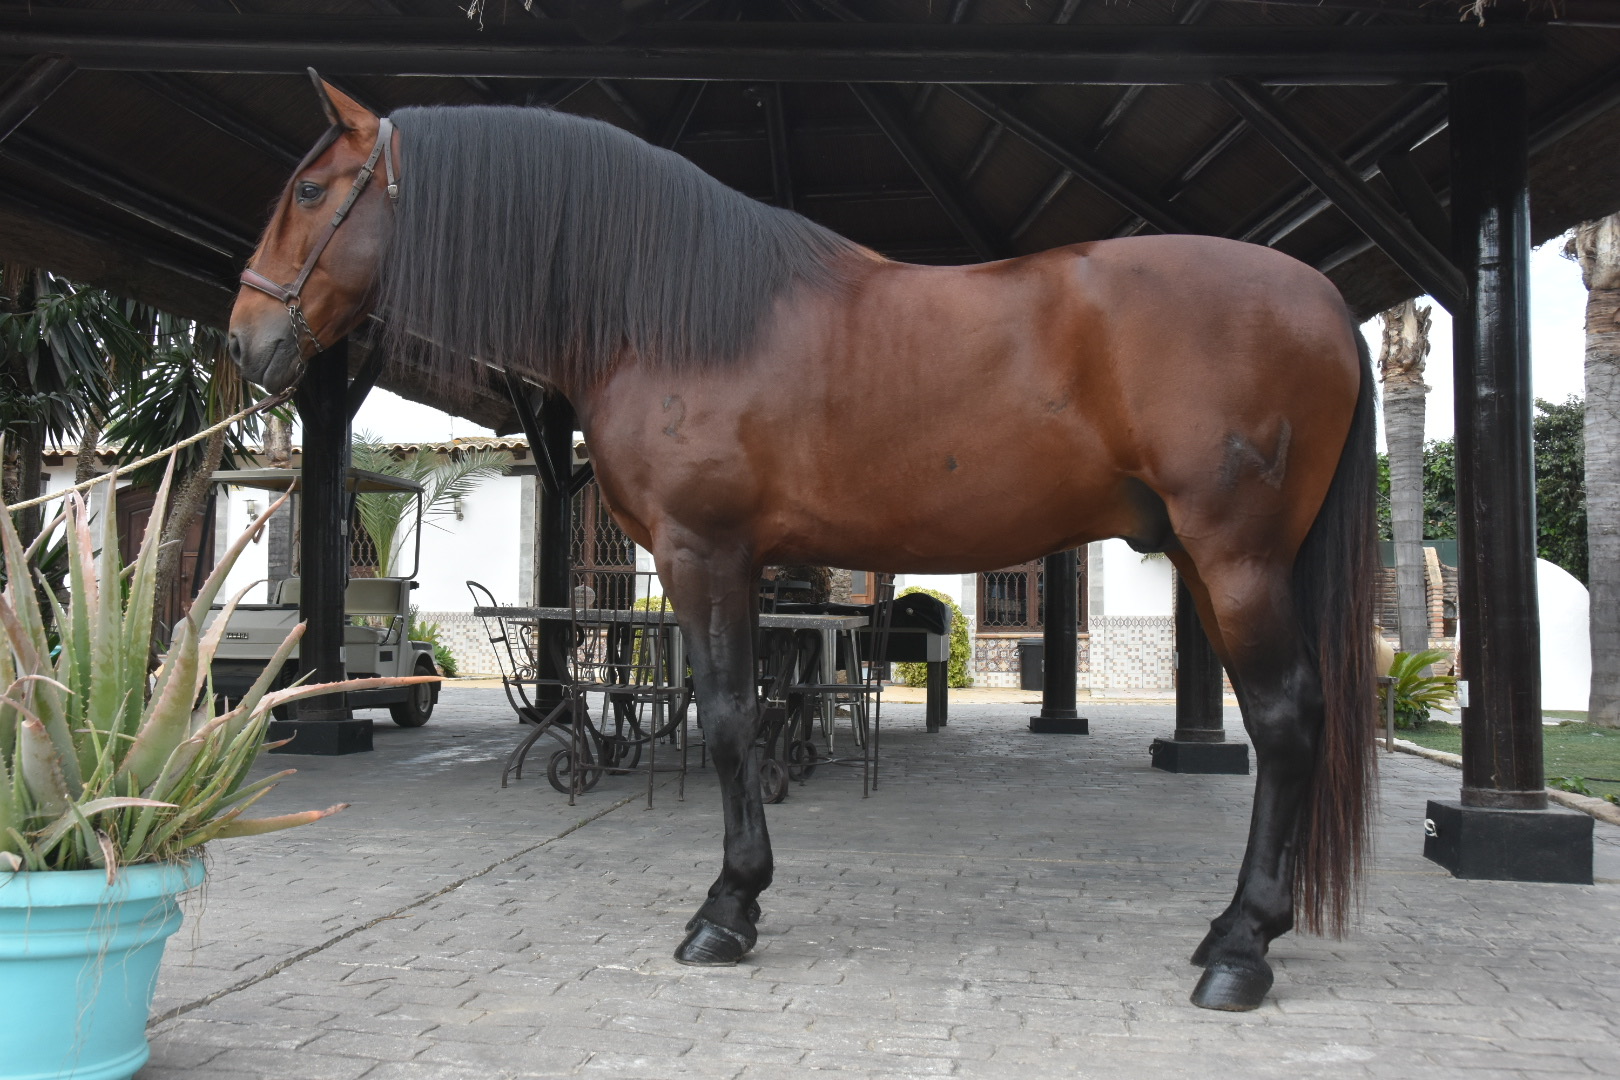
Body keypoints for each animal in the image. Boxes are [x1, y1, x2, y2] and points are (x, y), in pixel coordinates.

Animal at [228, 74, 1376, 1012]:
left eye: (313, 192)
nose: (245, 342)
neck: (677, 310)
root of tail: (1324, 299)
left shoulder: (704, 554)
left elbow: (736, 721)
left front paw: (725, 911)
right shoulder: (734, 565)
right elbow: (747, 712)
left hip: (1236, 559)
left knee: (1286, 722)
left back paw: (1243, 951)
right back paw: (1229, 935)